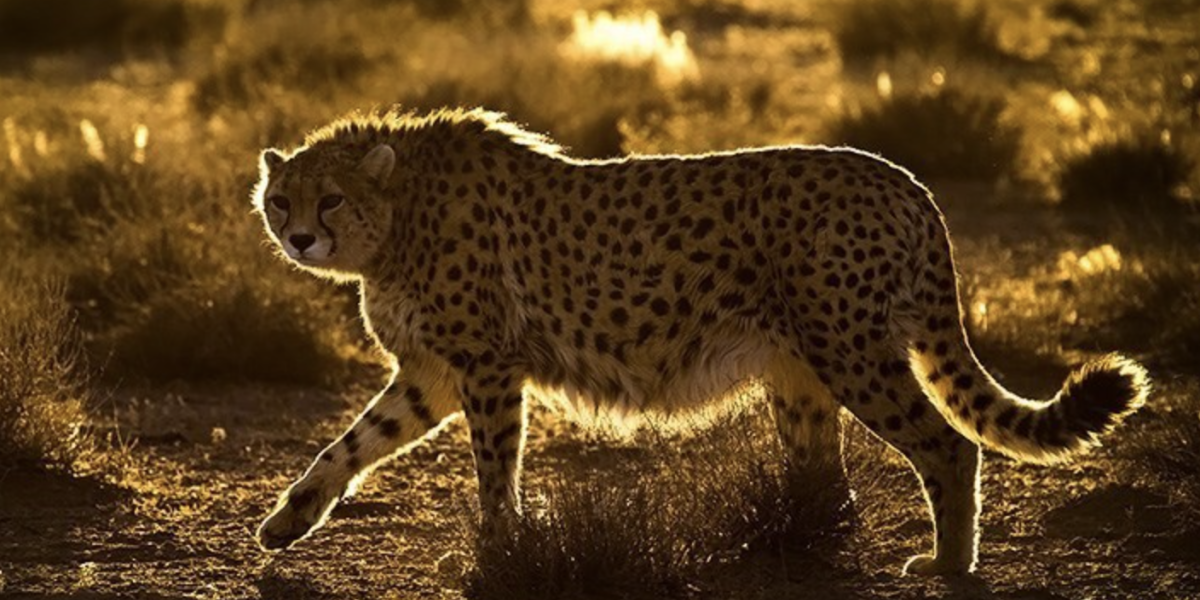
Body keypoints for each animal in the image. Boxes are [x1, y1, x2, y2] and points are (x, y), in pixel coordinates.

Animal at [251, 107, 1149, 576]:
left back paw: (948, 564)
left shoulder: (486, 367)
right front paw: (288, 519)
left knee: (949, 446)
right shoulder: (433, 373)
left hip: (852, 352)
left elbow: (493, 467)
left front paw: (497, 548)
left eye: (331, 199)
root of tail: (904, 178)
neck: (397, 216)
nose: (299, 238)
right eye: (281, 198)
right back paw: (797, 545)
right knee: (828, 480)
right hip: (799, 370)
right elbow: (351, 443)